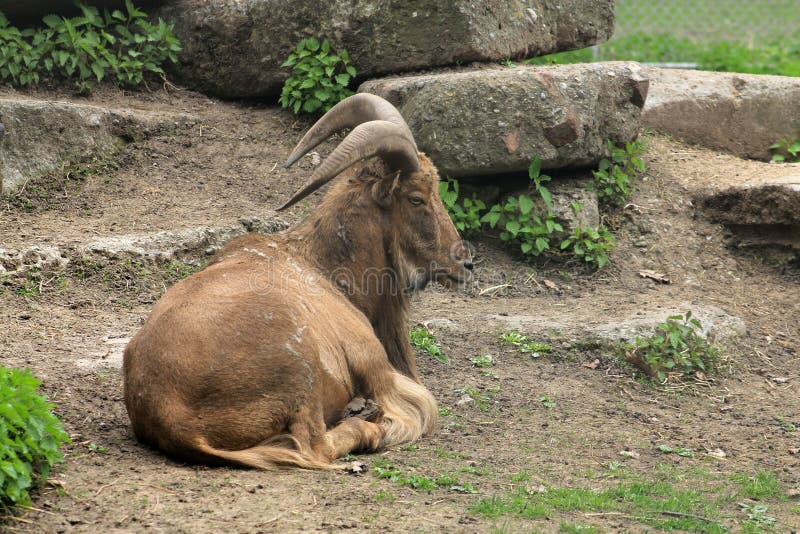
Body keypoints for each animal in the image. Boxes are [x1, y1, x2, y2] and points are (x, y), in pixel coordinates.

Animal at [123, 94, 473, 469]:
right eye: (417, 198)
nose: (465, 262)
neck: (325, 267)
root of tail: (172, 415)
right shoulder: (374, 363)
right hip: (300, 373)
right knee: (315, 443)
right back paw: (365, 424)